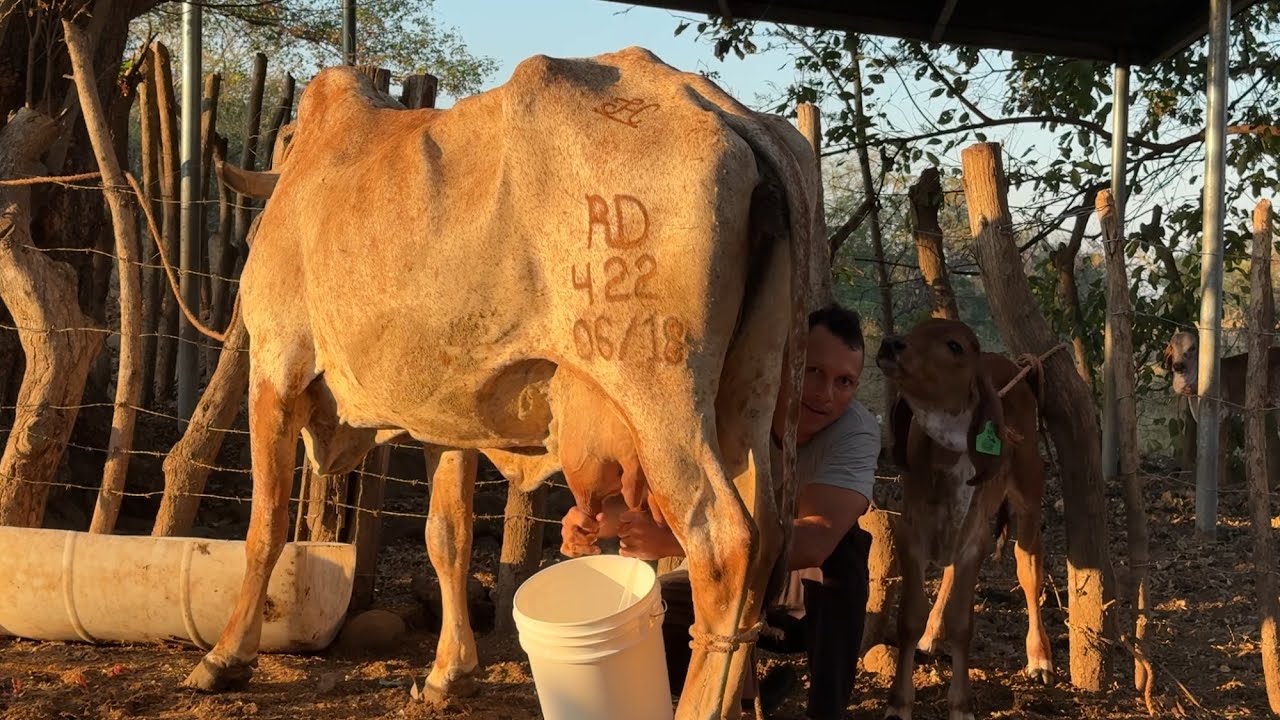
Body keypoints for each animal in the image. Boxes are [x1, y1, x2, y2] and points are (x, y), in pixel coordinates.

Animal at [181, 46, 821, 720]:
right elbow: (448, 537)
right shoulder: (446, 422)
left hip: (659, 396)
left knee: (723, 541)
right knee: (767, 535)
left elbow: (266, 526)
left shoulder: (274, 372)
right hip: (748, 395)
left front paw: (224, 658)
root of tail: (726, 112)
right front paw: (450, 674)